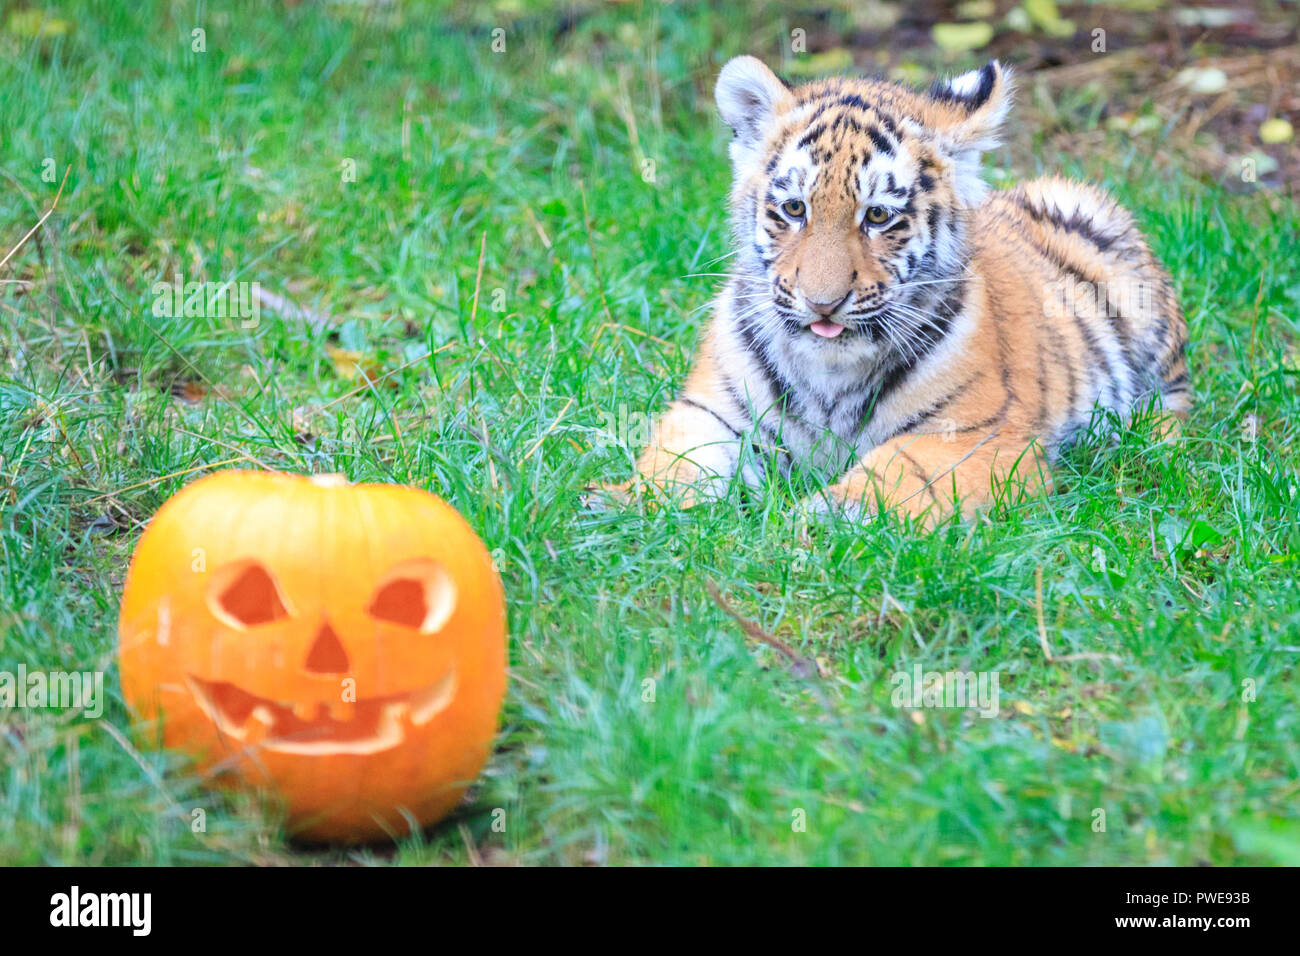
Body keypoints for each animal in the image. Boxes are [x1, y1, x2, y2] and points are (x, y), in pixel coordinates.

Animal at [602, 55, 1189, 522]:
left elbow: (896, 473)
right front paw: (624, 505)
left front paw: (819, 520)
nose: (823, 303)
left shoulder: (975, 436)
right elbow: (677, 462)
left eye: (879, 216)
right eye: (794, 208)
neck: (830, 374)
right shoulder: (712, 412)